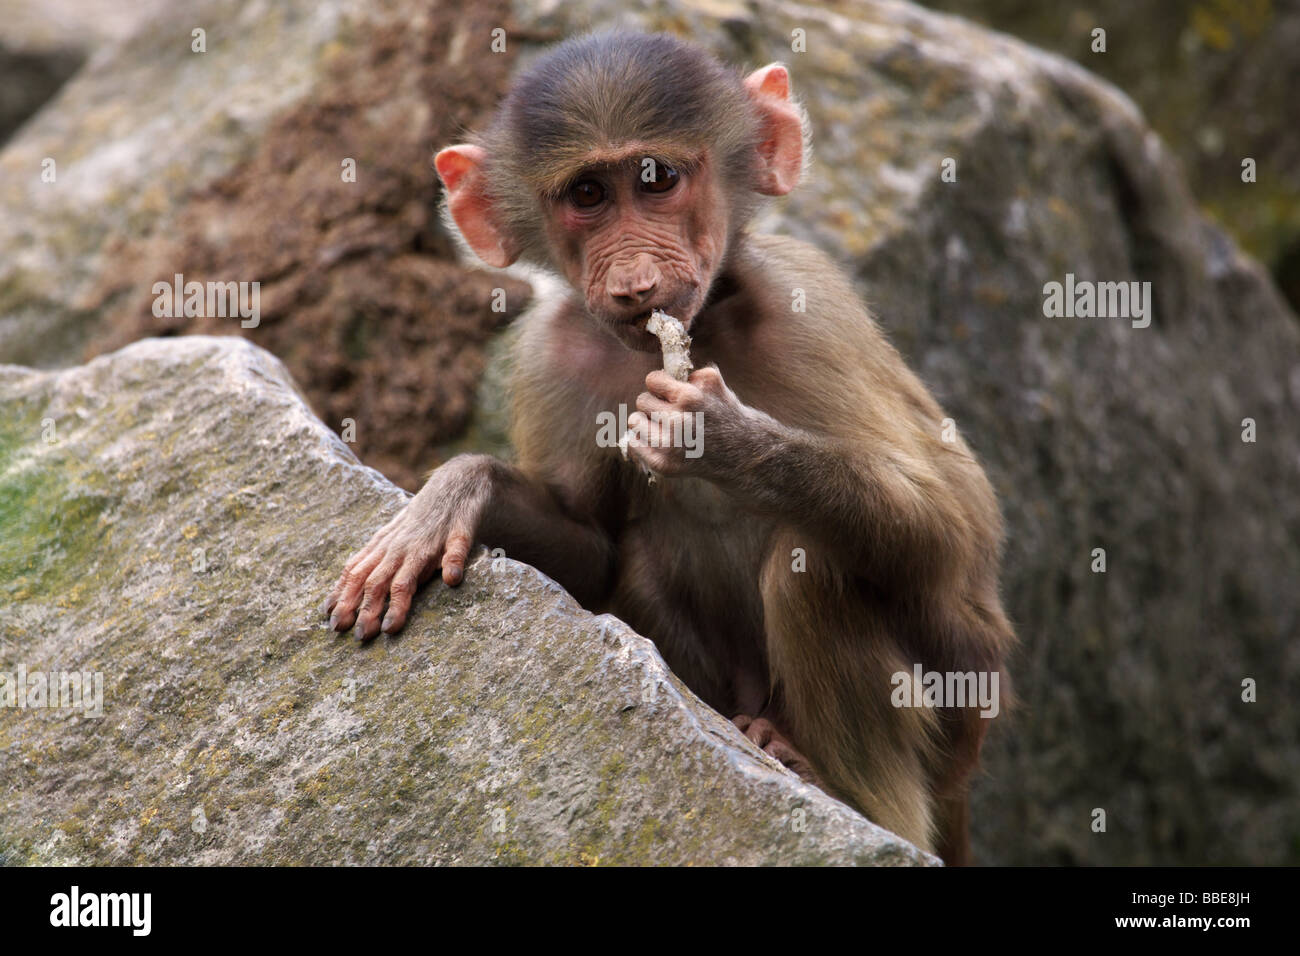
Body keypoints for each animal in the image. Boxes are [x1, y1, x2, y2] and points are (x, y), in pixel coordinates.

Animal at [325, 32, 1015, 865]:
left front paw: (718, 437)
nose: (635, 278)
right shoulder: (551, 355)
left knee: (816, 566)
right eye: (588, 195)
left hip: (962, 697)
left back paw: (830, 786)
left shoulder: (810, 308)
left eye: (658, 181)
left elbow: (951, 527)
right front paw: (453, 498)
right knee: (646, 562)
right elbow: (591, 545)